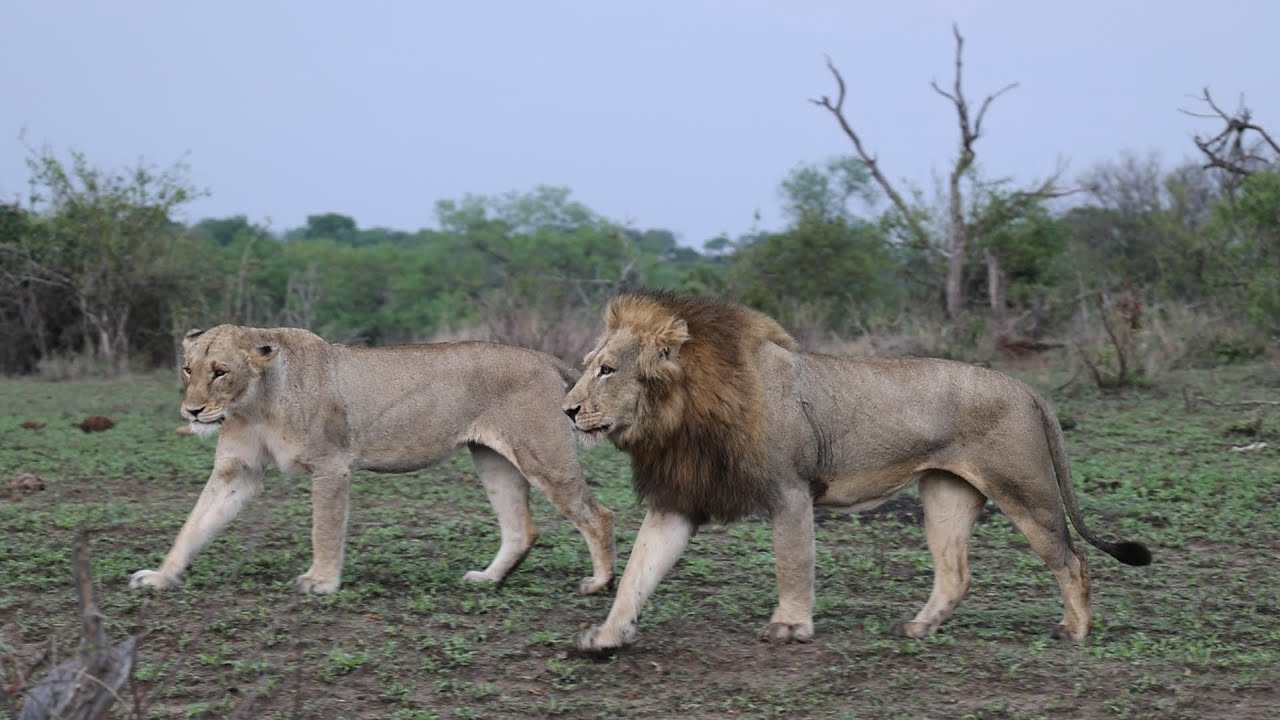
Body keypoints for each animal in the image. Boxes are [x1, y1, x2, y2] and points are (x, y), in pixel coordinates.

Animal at [130, 324, 615, 595]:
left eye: (221, 371)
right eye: (188, 369)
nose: (192, 412)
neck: (255, 402)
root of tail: (544, 358)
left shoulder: (331, 465)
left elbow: (324, 530)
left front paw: (321, 583)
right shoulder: (237, 472)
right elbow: (194, 526)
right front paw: (160, 577)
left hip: (542, 455)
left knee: (598, 514)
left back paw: (599, 584)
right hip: (492, 460)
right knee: (521, 529)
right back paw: (488, 580)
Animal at [562, 291, 1151, 651]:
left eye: (607, 370)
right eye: (589, 366)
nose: (566, 410)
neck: (679, 418)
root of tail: (1027, 389)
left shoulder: (790, 490)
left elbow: (792, 563)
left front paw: (790, 627)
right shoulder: (679, 499)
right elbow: (638, 573)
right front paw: (607, 636)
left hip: (1025, 491)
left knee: (1073, 561)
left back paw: (1076, 630)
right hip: (946, 494)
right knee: (955, 574)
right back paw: (918, 627)